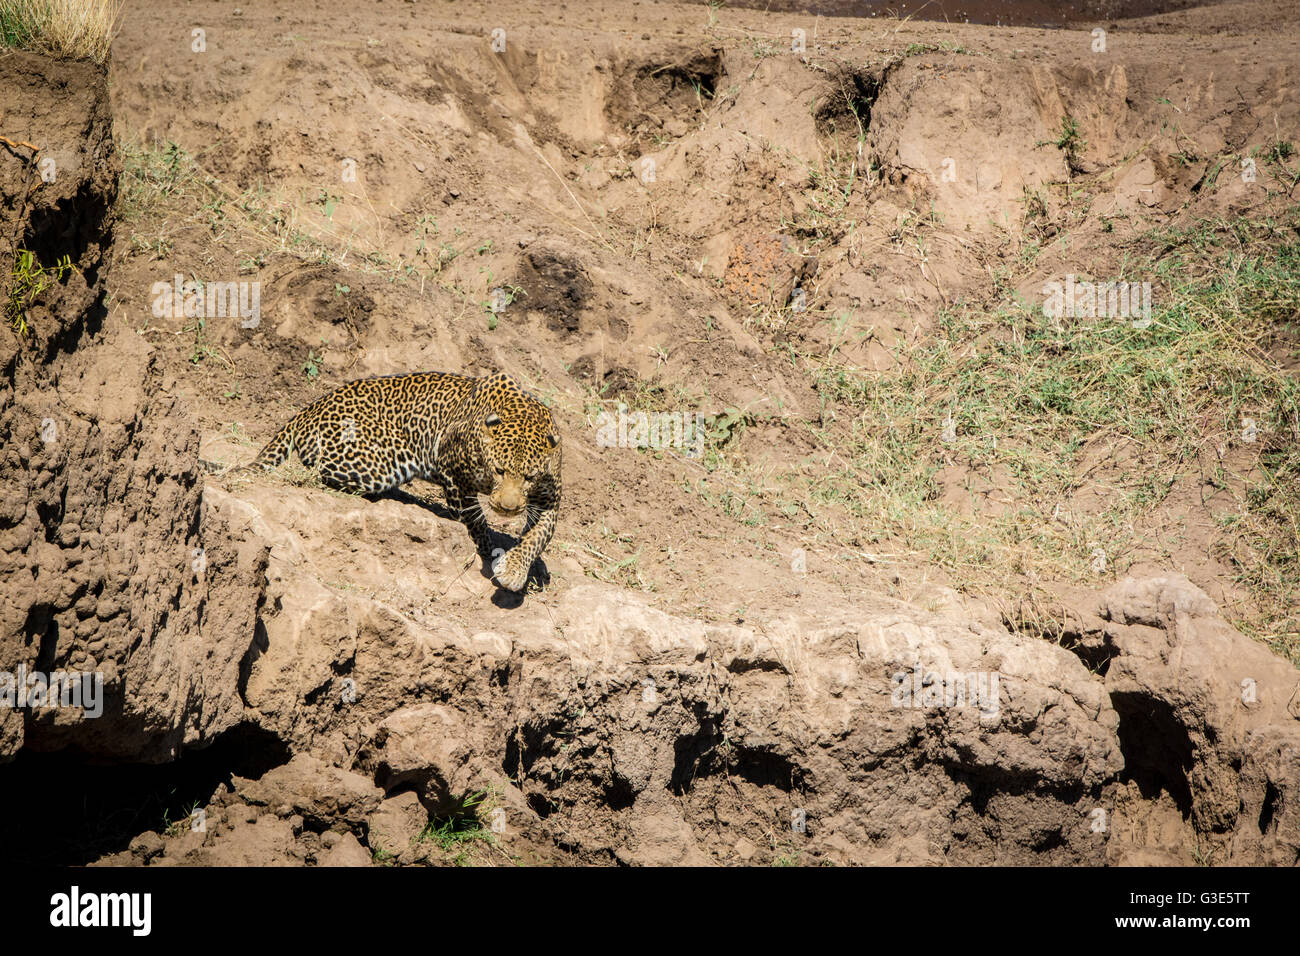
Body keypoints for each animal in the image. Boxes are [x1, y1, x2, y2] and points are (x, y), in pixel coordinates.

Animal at [244, 371, 559, 590]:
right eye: (499, 470)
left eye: (529, 477)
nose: (507, 508)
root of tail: (308, 408)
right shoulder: (451, 470)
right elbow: (474, 517)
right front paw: (487, 546)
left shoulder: (549, 501)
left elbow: (536, 539)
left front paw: (515, 571)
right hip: (372, 464)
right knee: (313, 469)